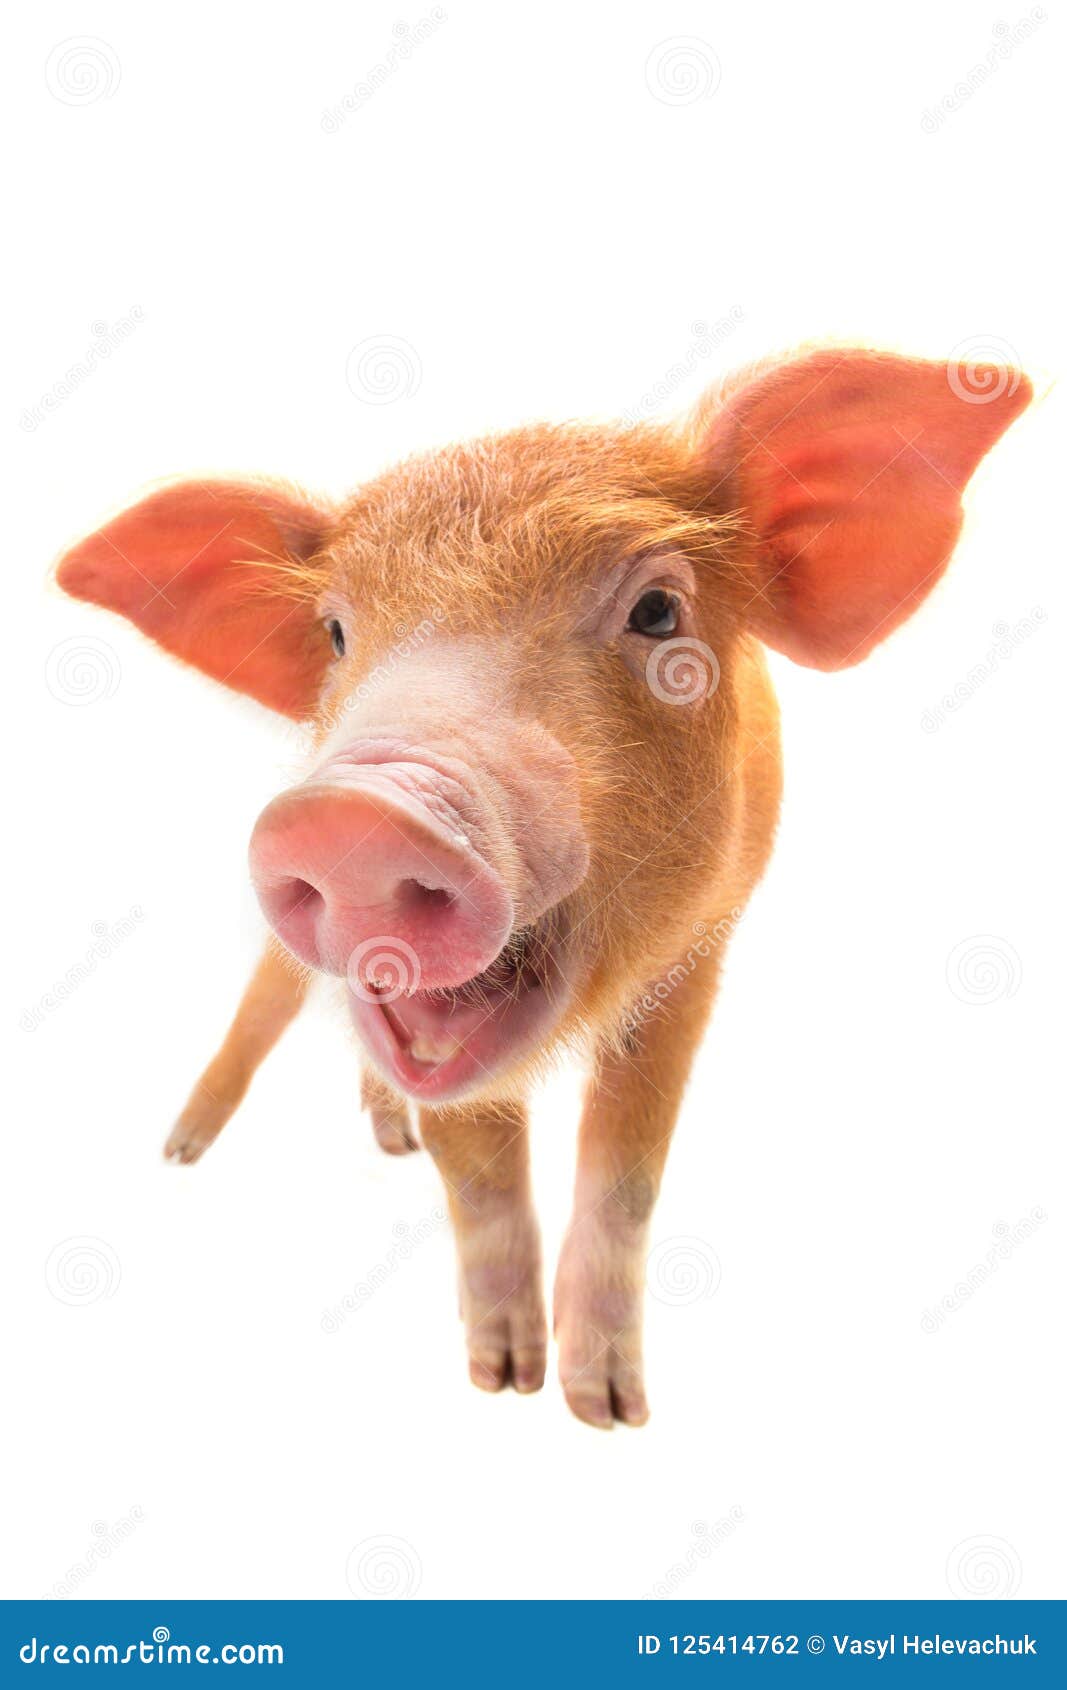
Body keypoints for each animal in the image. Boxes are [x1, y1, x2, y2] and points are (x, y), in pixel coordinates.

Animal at [55, 348, 1030, 1427]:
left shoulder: (699, 952)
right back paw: (182, 1150)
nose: (352, 813)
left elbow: (626, 1167)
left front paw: (604, 1410)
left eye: (657, 610)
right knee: (263, 1007)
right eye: (336, 633)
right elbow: (477, 1179)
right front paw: (502, 1380)